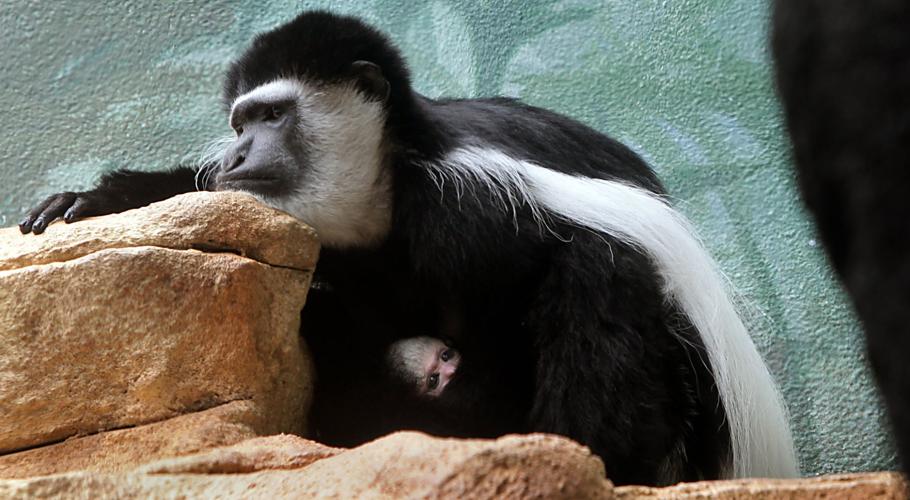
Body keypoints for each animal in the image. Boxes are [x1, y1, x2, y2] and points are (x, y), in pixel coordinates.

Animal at [18, 11, 798, 485]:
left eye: (273, 116)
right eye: (241, 123)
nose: (237, 154)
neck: (390, 178)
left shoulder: (470, 205)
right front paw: (93, 199)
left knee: (601, 282)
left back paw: (582, 451)